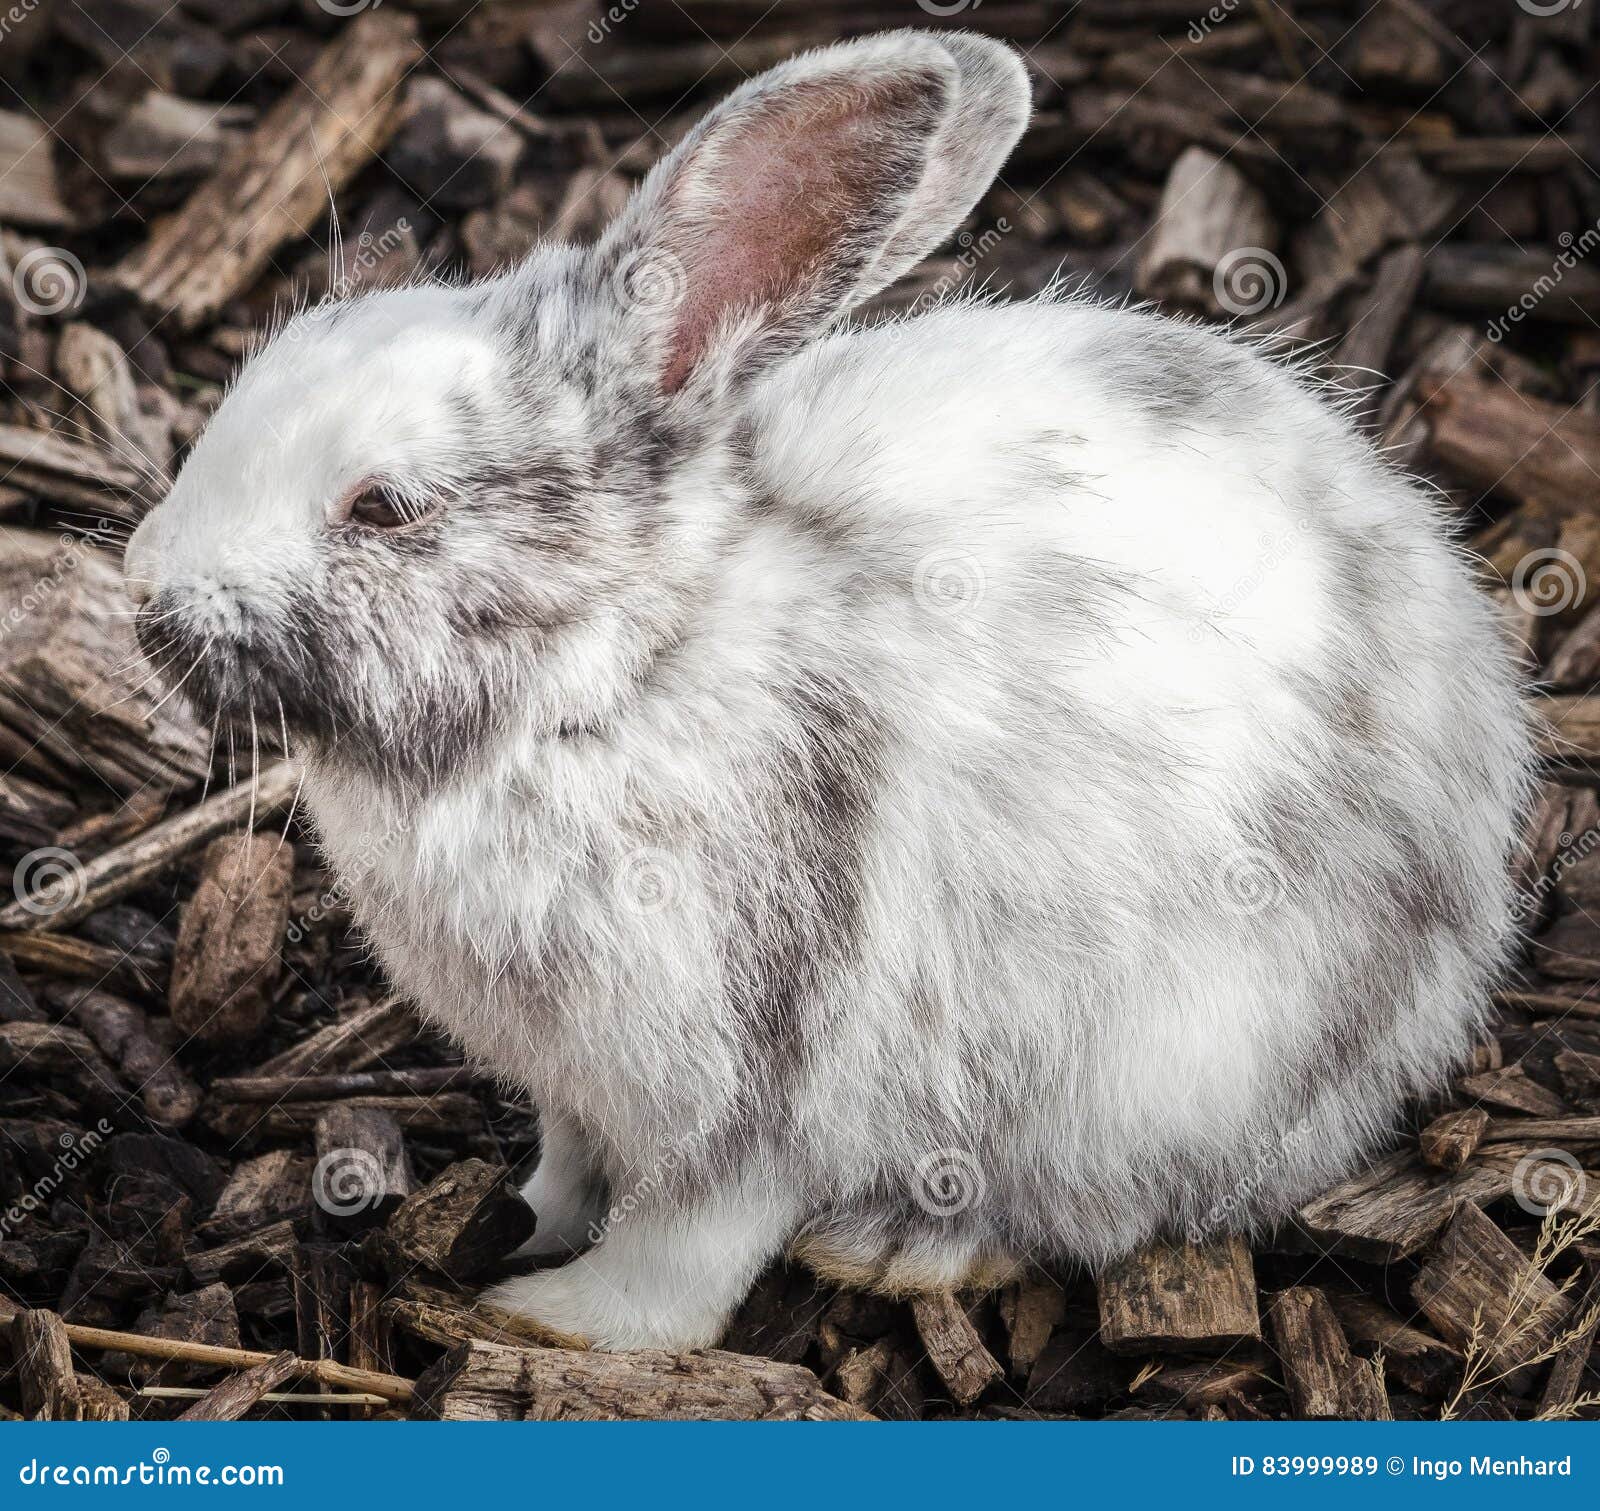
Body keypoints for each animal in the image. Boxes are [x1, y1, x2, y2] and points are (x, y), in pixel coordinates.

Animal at [123, 29, 1533, 1352]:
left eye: (386, 506)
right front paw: (520, 1220)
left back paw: (894, 1248)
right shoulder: (576, 1086)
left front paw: (558, 1318)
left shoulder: (751, 1090)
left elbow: (684, 1248)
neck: (616, 677)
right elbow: (569, 1164)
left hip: (1165, 1066)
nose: (146, 595)